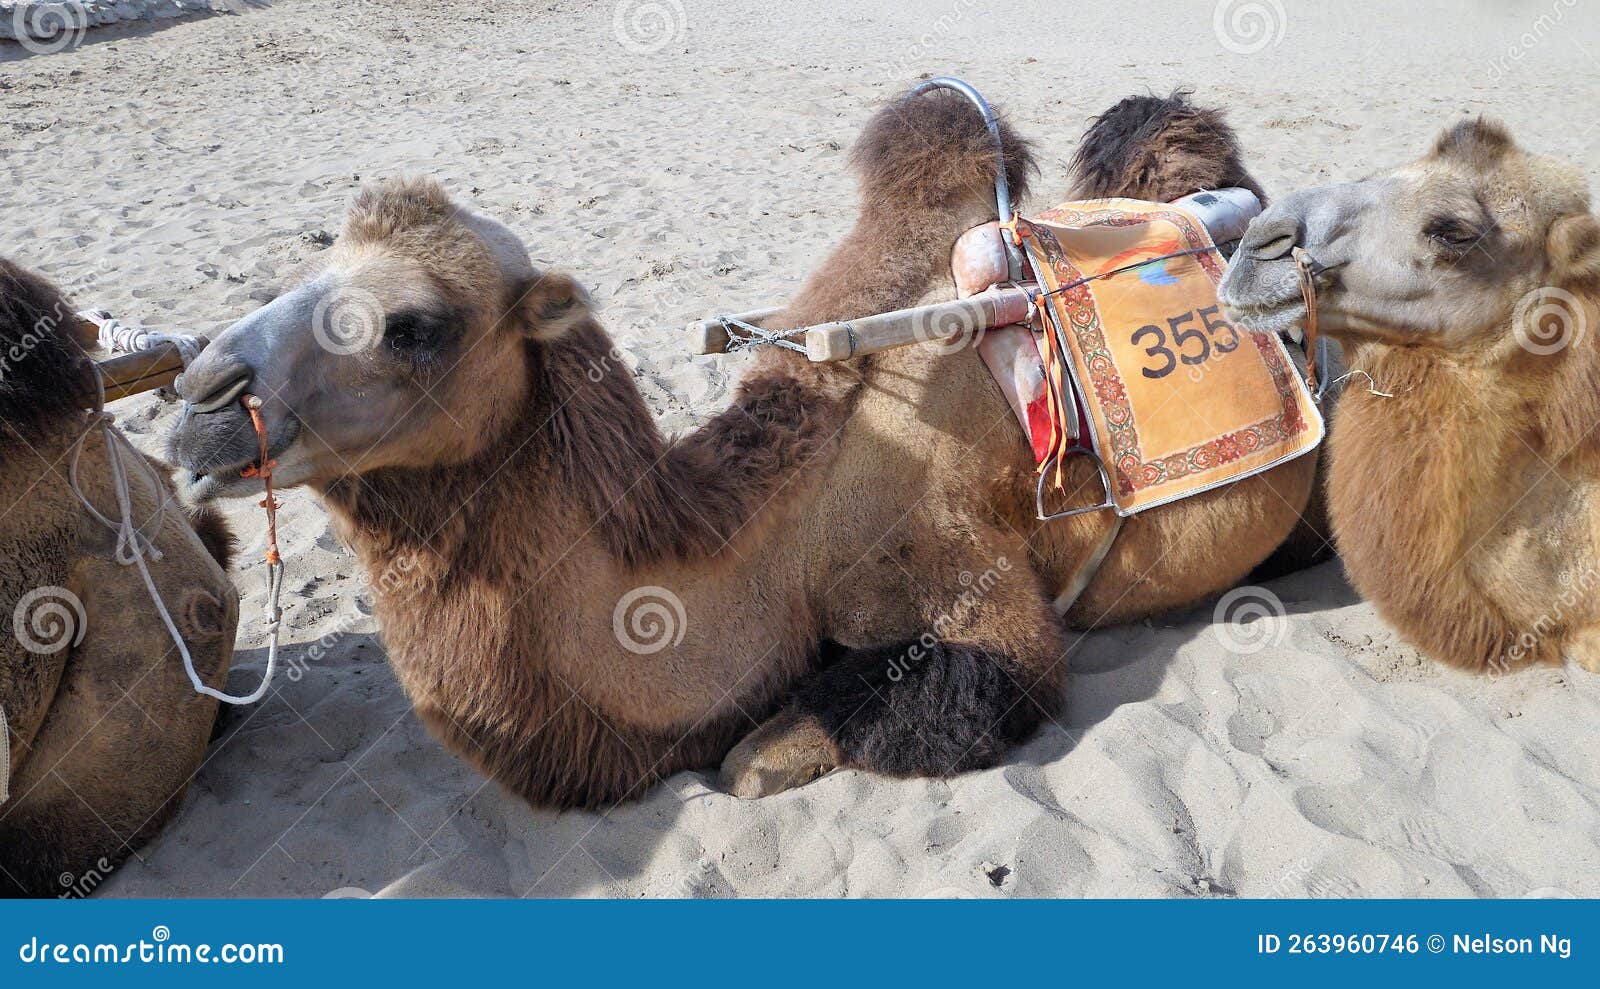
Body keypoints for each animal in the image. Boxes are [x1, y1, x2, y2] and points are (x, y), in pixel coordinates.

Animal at [165, 88, 1317, 810]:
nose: (202, 396)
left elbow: (768, 757)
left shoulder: (966, 583)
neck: (777, 540)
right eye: (314, 264)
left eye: (414, 326)